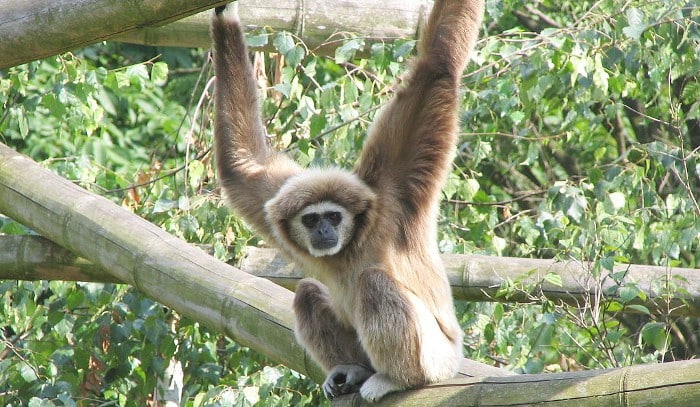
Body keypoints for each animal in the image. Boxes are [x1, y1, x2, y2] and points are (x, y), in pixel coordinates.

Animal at [211, 0, 485, 402]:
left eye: (334, 217)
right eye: (311, 219)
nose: (323, 231)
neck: (353, 243)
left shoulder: (392, 193)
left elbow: (437, 65)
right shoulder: (273, 199)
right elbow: (243, 165)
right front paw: (224, 13)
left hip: (438, 360)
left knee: (374, 284)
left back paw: (396, 378)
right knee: (308, 292)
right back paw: (353, 370)